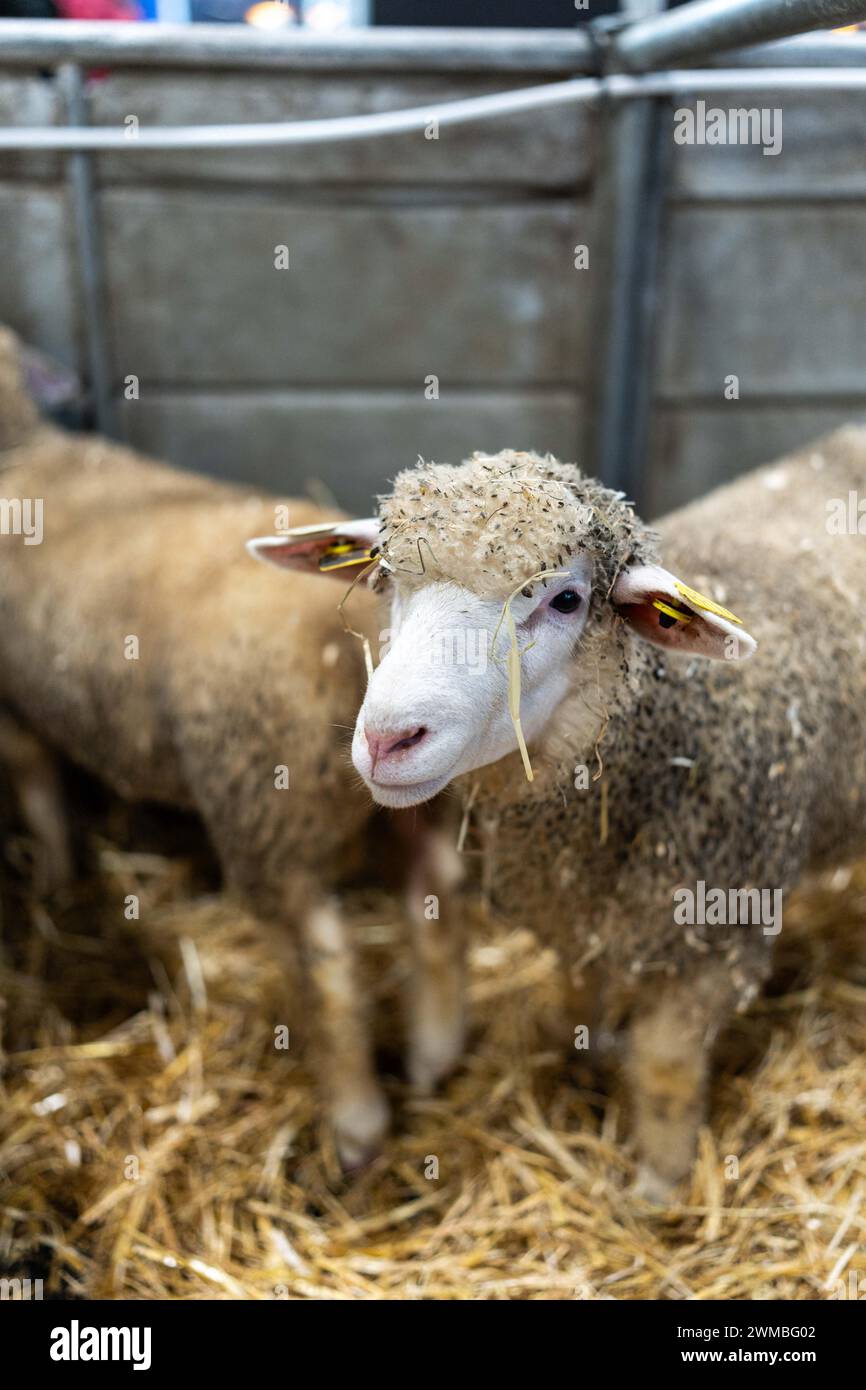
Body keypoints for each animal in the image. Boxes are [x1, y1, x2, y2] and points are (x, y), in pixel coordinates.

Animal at [0, 326, 465, 1169]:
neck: (19, 446)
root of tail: (358, 639)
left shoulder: (12, 707)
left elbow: (39, 790)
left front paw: (52, 877)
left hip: (264, 804)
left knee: (326, 965)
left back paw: (355, 1123)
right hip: (419, 792)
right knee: (435, 896)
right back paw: (435, 1054)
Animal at [252, 439, 866, 1199]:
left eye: (565, 599)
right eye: (386, 576)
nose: (388, 740)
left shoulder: (718, 941)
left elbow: (664, 1067)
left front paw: (657, 1188)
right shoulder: (574, 912)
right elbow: (580, 992)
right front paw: (585, 1062)